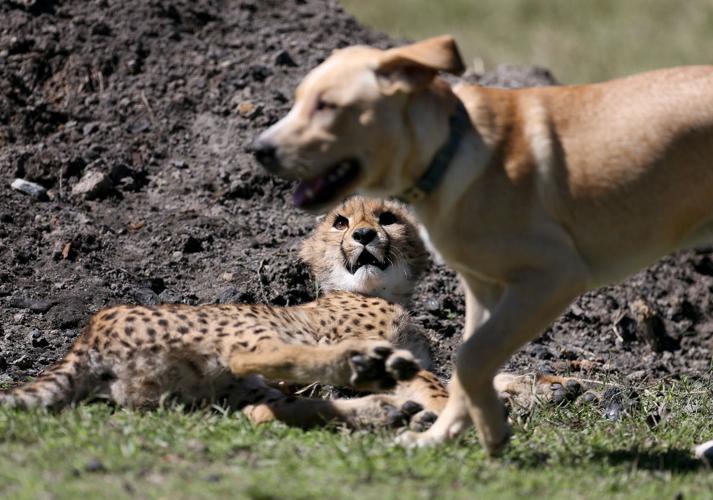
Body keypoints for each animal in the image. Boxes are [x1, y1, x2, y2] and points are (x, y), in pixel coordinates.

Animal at [1, 196, 449, 430]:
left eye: (388, 218)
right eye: (341, 222)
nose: (364, 234)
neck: (381, 291)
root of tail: (89, 332)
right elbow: (433, 380)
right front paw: (445, 406)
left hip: (220, 386)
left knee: (261, 410)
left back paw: (385, 411)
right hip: (246, 328)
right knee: (257, 358)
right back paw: (369, 373)